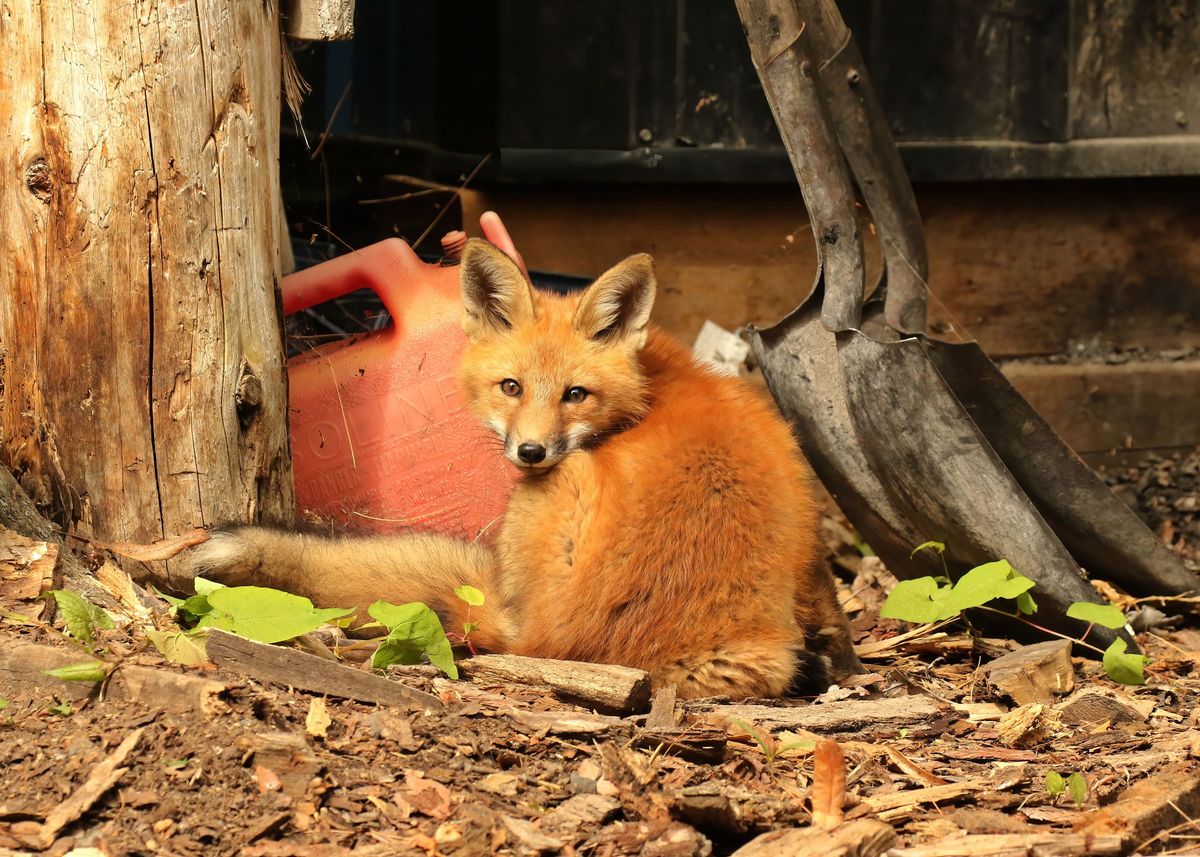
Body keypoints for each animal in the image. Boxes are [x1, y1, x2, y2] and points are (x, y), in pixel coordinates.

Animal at [186, 238, 862, 699]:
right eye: (510, 386)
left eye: (575, 394)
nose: (530, 453)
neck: (660, 383)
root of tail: (542, 639)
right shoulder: (803, 514)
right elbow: (827, 601)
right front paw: (849, 664)